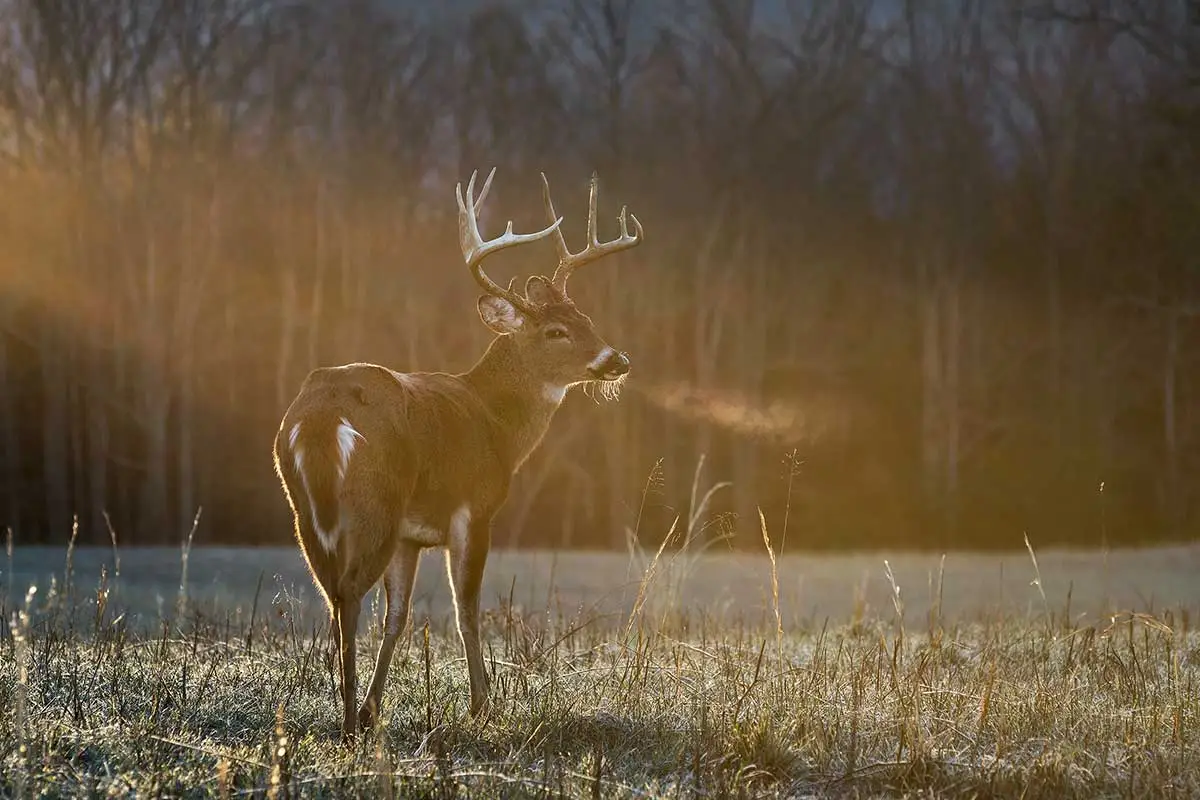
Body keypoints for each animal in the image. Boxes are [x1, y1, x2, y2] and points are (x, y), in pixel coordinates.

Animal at [272, 168, 643, 742]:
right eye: (556, 331)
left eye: (586, 317)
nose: (617, 360)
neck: (497, 423)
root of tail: (319, 419)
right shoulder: (474, 508)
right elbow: (466, 608)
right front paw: (481, 706)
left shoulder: (411, 533)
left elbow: (398, 615)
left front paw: (376, 707)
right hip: (374, 502)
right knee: (349, 592)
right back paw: (349, 726)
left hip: (304, 510)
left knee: (332, 597)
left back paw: (351, 712)